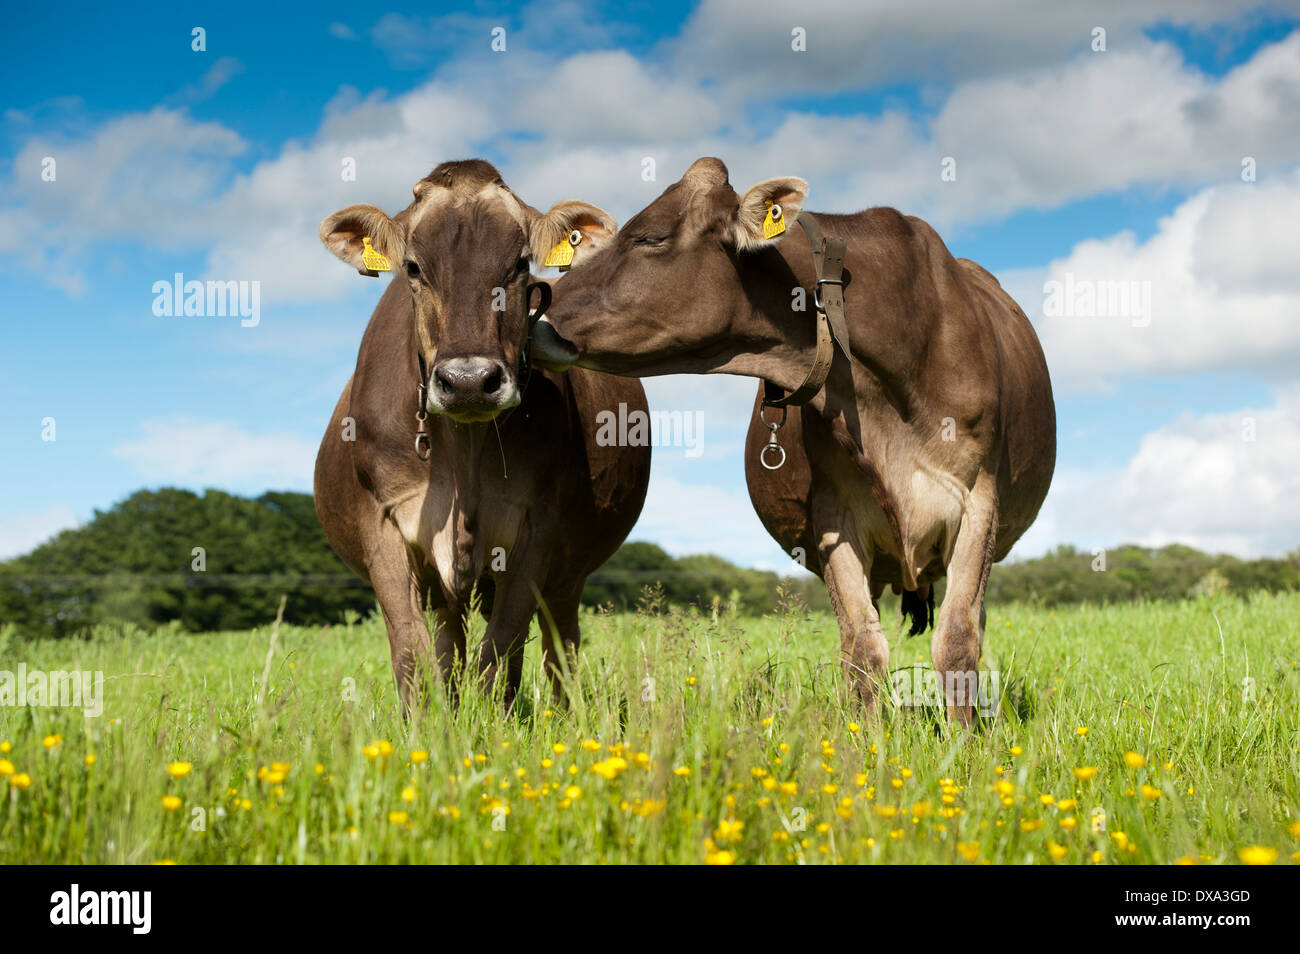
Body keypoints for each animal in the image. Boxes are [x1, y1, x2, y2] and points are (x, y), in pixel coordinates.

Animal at [314, 159, 650, 710]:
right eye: (413, 268)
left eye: (519, 265)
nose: (469, 381)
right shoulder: (383, 521)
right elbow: (413, 655)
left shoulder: (539, 526)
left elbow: (500, 651)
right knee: (449, 646)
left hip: (568, 575)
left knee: (556, 648)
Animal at [531, 157, 1056, 726]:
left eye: (650, 237)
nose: (534, 311)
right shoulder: (834, 514)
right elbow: (862, 648)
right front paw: (869, 740)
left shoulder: (978, 500)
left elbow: (958, 642)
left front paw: (965, 743)